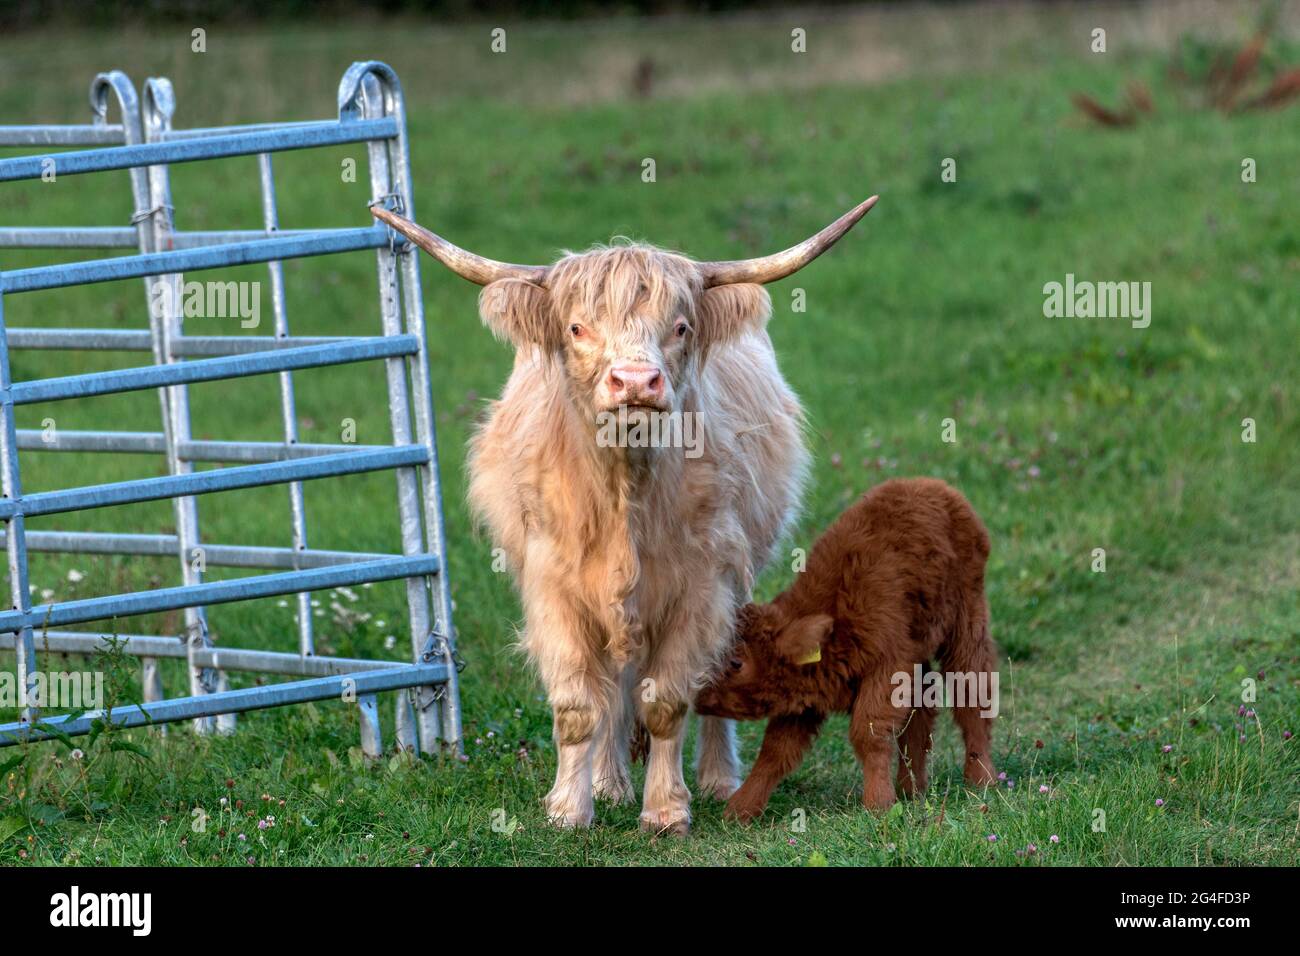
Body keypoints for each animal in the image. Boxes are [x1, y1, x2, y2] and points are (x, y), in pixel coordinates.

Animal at [373, 197, 877, 833]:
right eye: (576, 327)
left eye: (681, 327)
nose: (635, 381)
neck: (624, 494)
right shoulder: (554, 586)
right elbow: (578, 706)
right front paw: (570, 808)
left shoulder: (702, 586)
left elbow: (668, 702)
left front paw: (666, 810)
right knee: (612, 684)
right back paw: (609, 782)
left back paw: (717, 778)